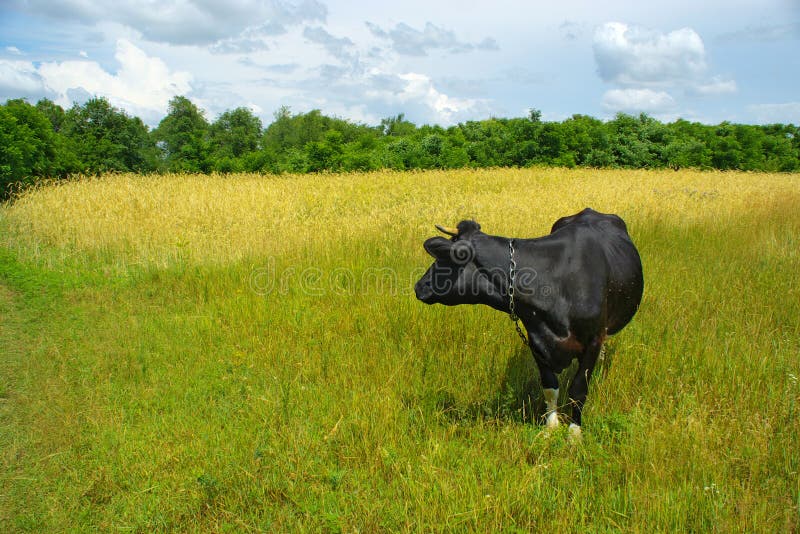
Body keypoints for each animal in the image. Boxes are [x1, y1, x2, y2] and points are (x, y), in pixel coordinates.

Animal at [414, 208, 644, 438]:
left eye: (443, 258)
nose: (419, 286)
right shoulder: (536, 338)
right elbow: (550, 386)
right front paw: (551, 427)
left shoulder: (593, 341)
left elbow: (579, 389)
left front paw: (574, 433)